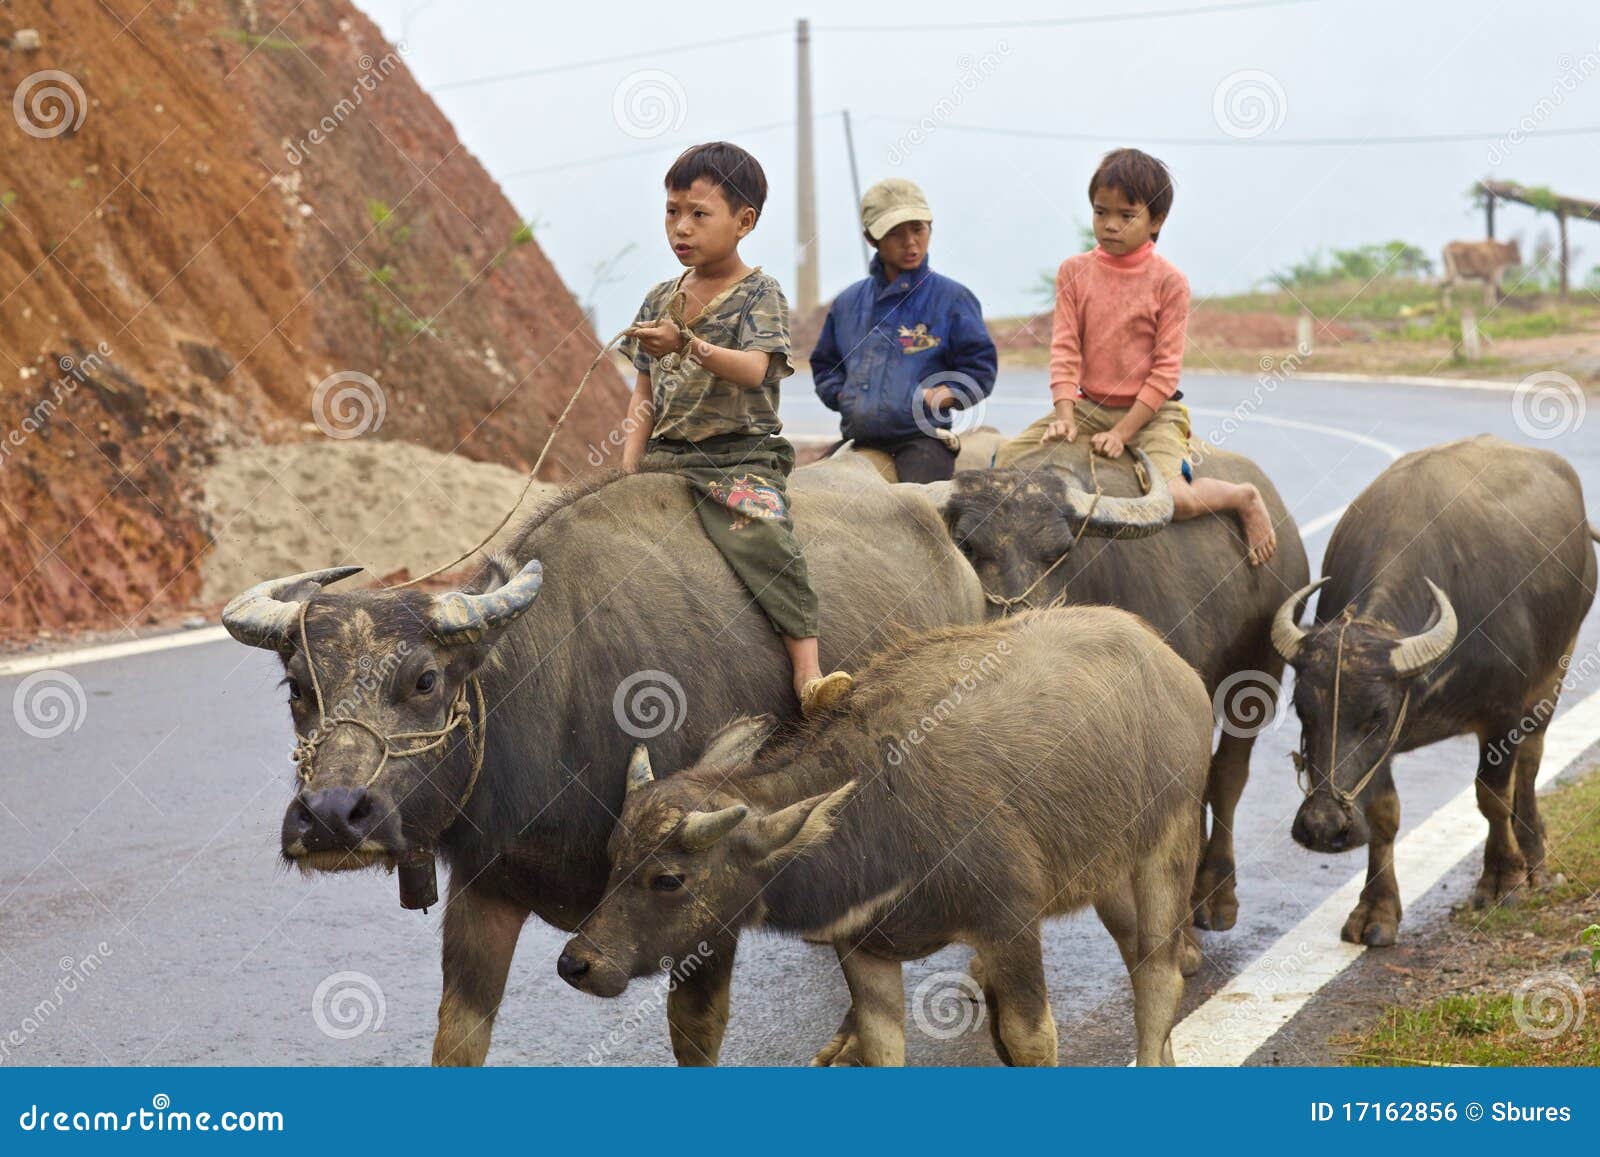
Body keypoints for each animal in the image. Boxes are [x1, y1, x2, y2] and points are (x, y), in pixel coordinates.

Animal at [560, 607, 1211, 1066]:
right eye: (613, 858)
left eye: (668, 879)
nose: (576, 964)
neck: (878, 805)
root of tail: (1168, 660)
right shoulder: (863, 947)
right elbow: (880, 1047)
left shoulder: (1009, 924)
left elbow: (1030, 1040)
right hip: (1111, 872)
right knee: (1139, 958)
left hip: (1171, 842)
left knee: (1160, 977)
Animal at [1271, 435, 1598, 945]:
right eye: (1303, 710)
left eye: (1376, 715)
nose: (1323, 827)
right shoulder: (1383, 750)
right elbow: (1383, 814)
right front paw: (1376, 910)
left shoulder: (1502, 715)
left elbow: (1491, 796)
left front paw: (1502, 879)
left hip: (1557, 665)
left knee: (1530, 762)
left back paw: (1533, 858)